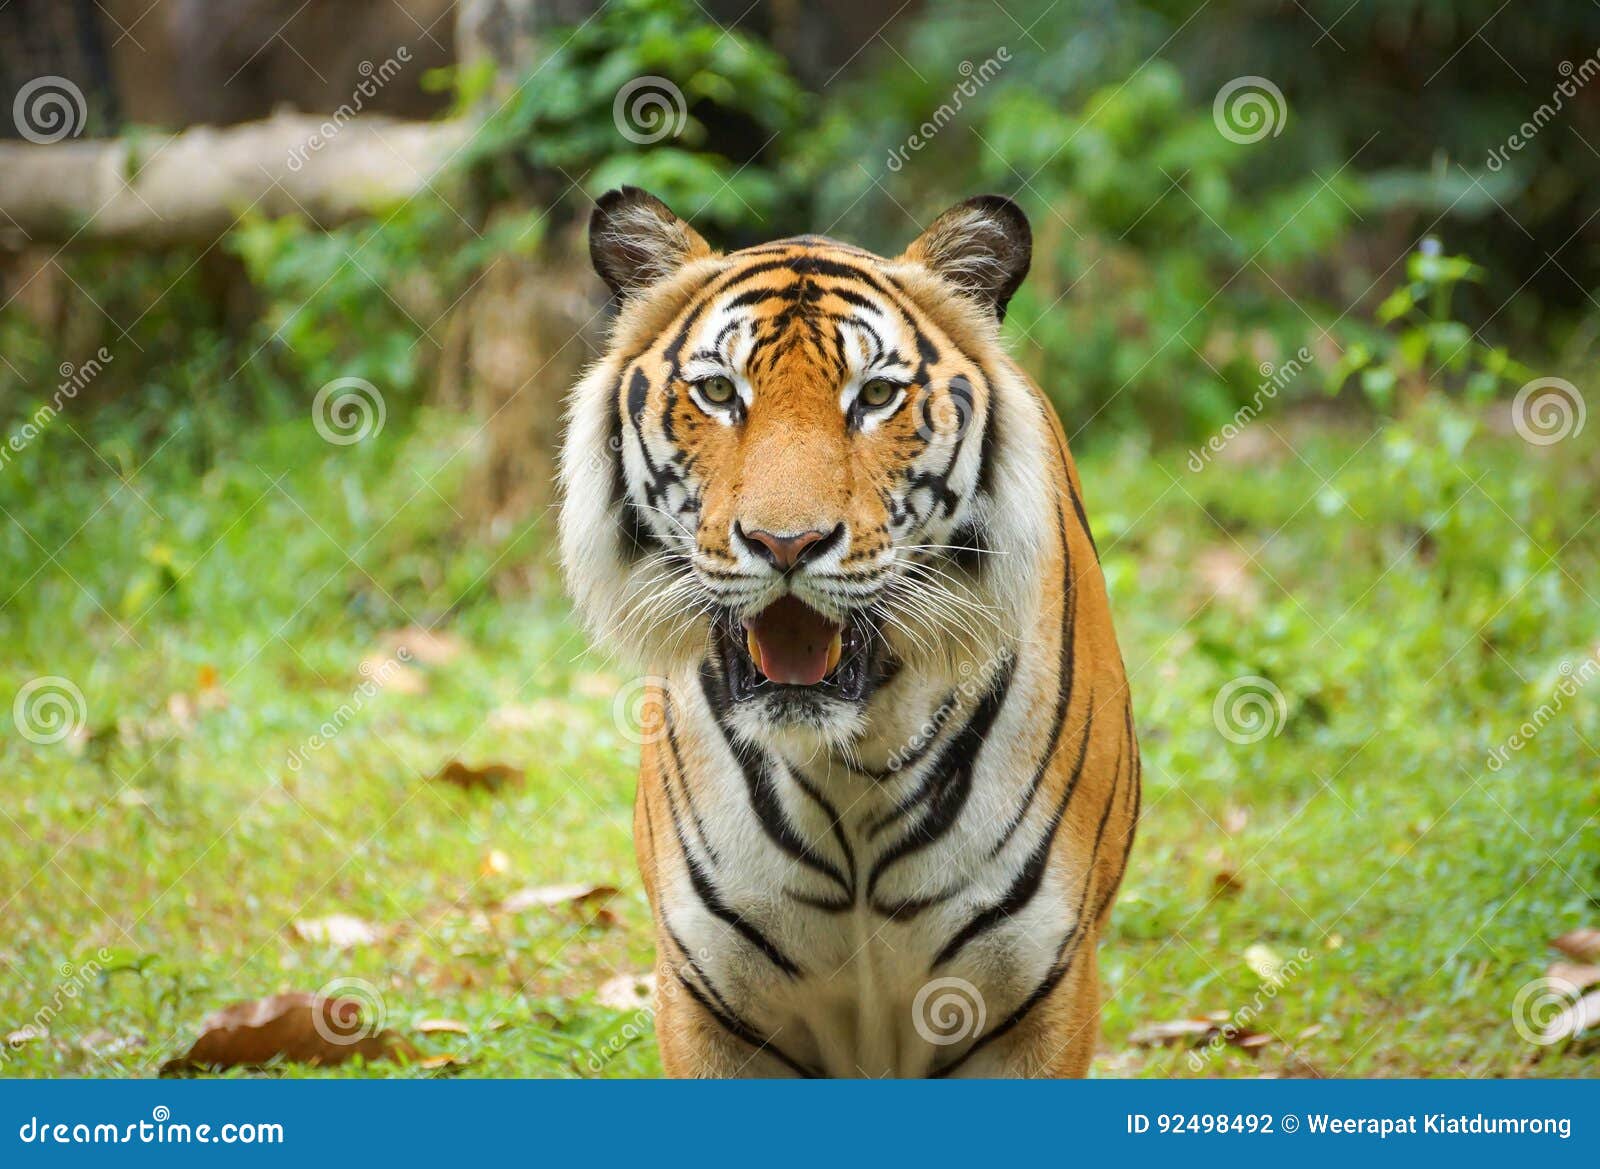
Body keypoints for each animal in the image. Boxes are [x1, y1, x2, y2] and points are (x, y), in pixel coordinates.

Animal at [558, 187, 1139, 1078]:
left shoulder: (1037, 994)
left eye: (873, 398)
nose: (786, 543)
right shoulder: (710, 1000)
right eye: (719, 392)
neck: (851, 763)